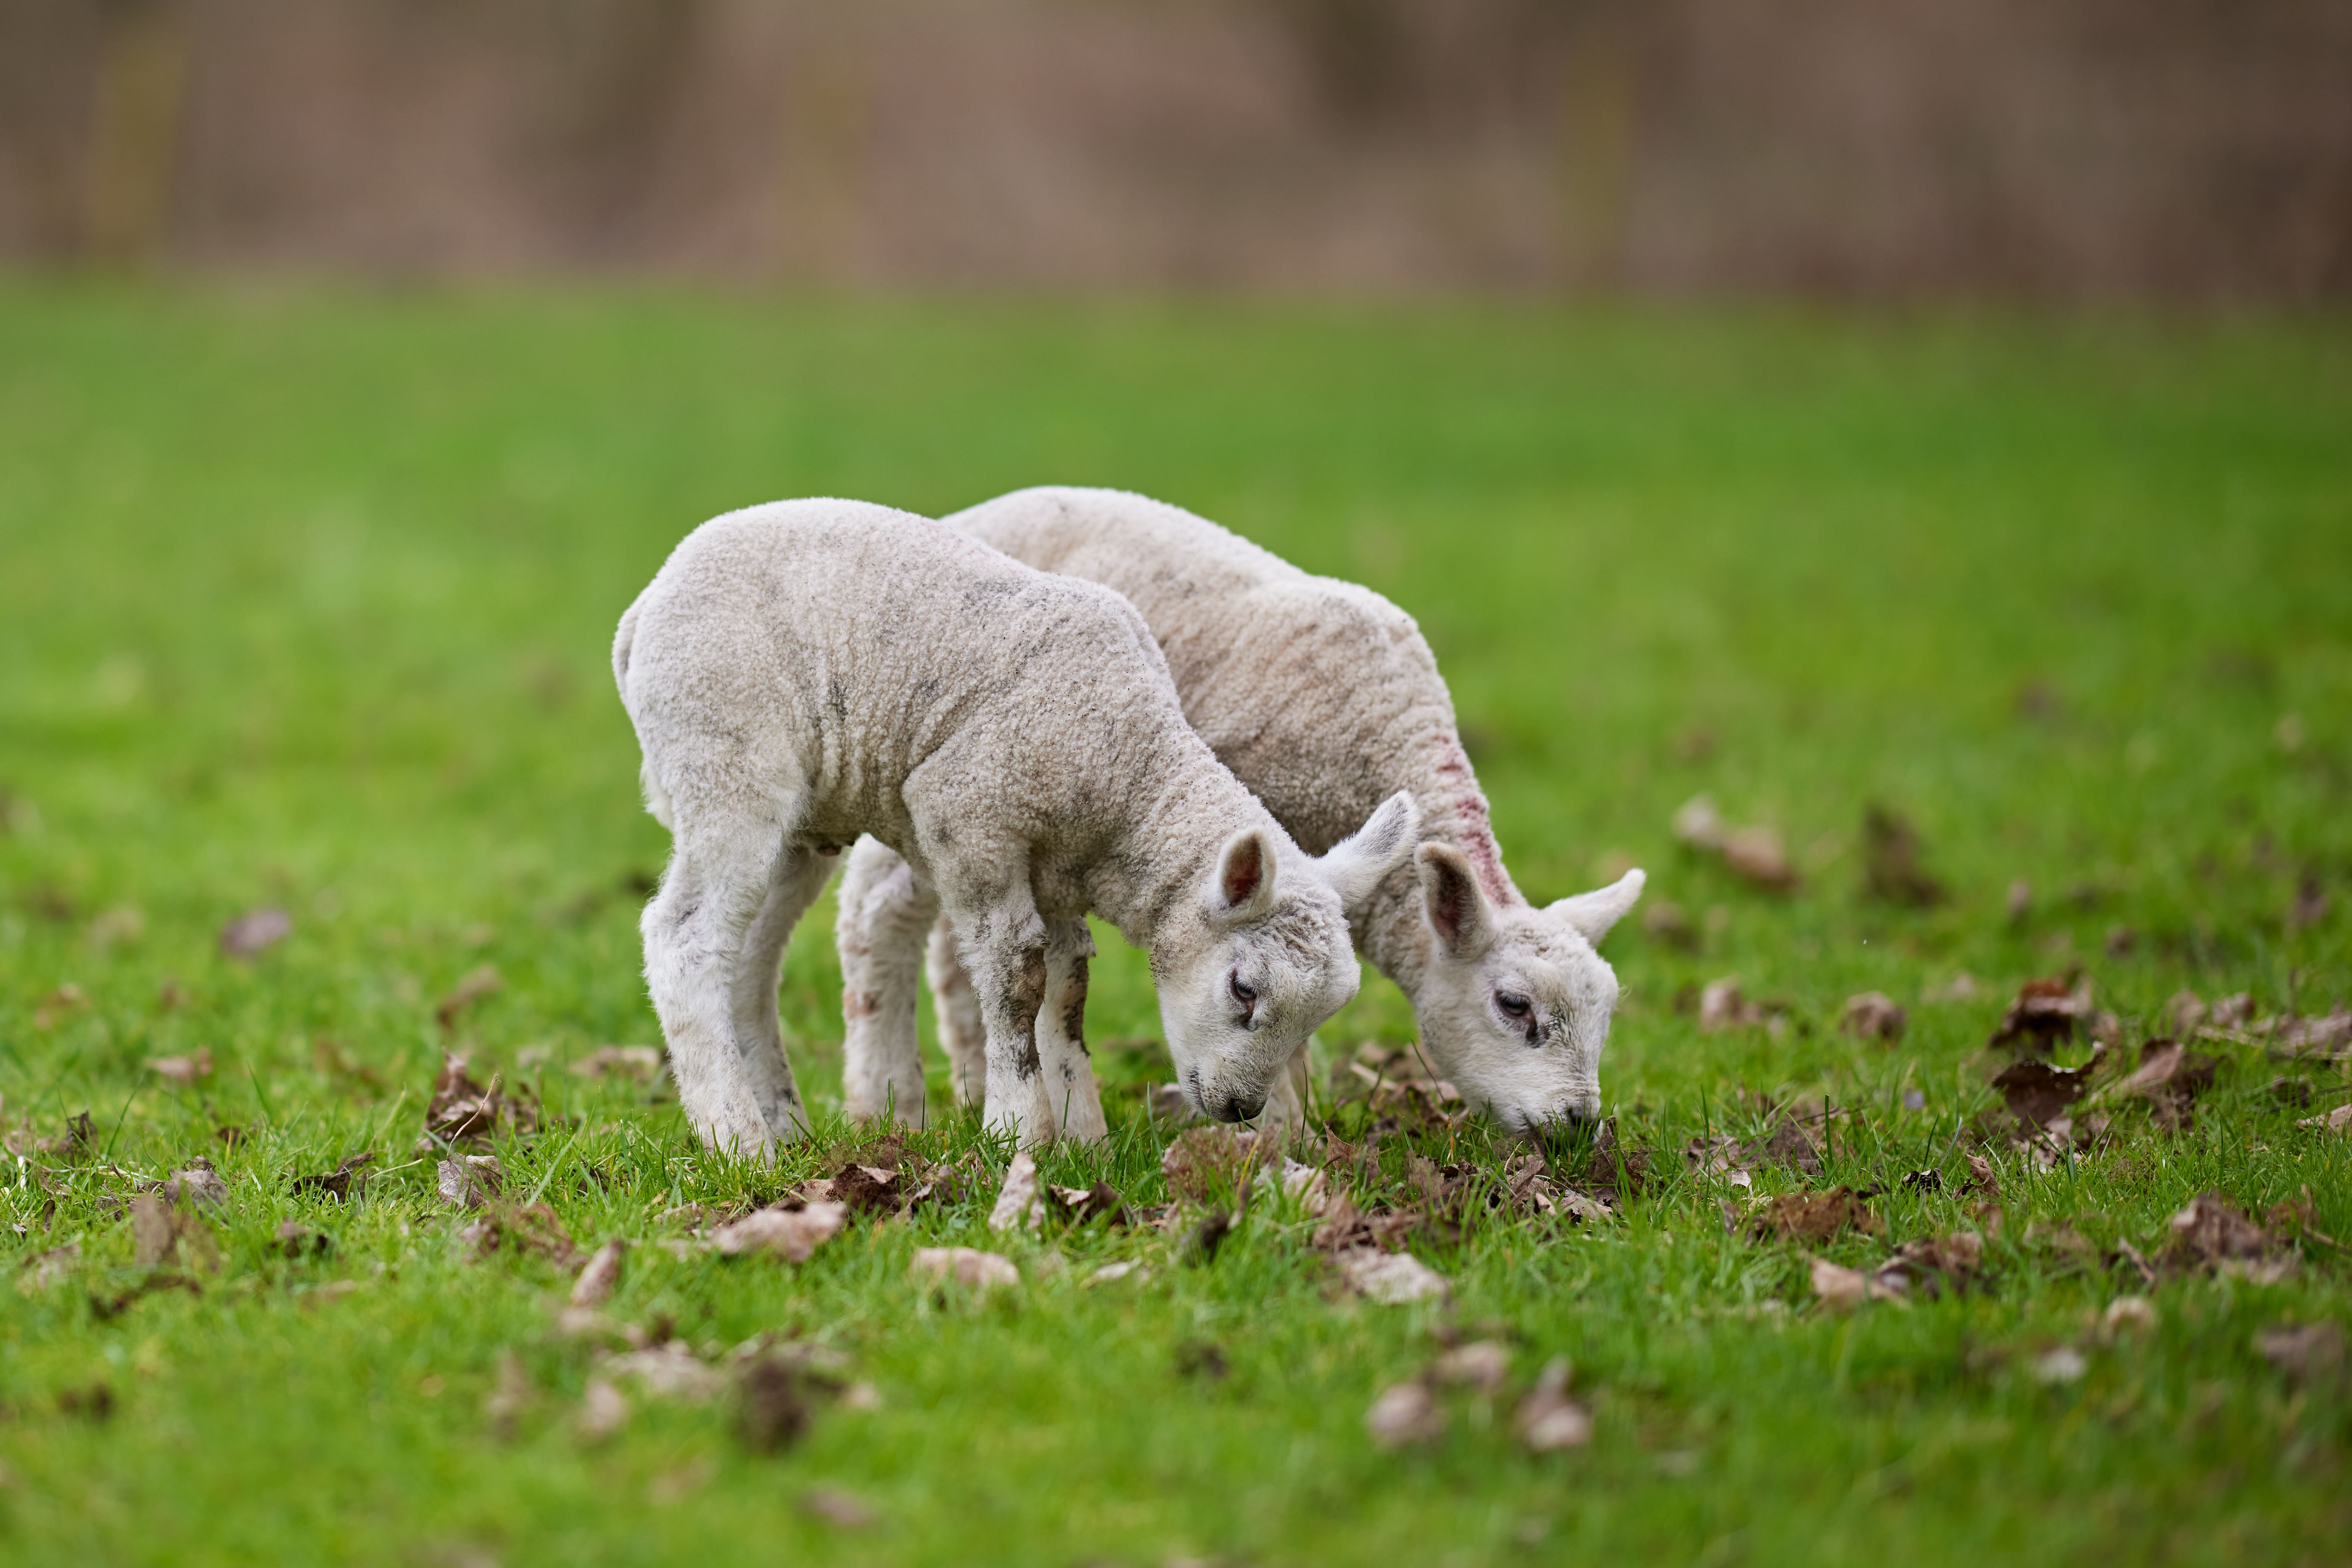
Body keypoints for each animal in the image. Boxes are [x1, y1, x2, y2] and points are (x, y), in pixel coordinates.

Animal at [612, 497, 1418, 1157]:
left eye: (1322, 1014)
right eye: (1244, 989)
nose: (1238, 1108)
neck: (1129, 778)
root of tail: (642, 609)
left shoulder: (1056, 870)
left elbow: (1067, 991)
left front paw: (1083, 1137)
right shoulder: (969, 821)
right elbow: (1017, 977)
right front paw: (1016, 1132)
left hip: (799, 818)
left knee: (748, 954)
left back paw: (783, 1121)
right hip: (725, 757)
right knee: (684, 937)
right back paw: (738, 1141)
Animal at [837, 487, 1643, 1138]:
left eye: (1608, 1014)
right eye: (1514, 1005)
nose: (1579, 1124)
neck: (1389, 729)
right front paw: (1283, 1136)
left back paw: (973, 1083)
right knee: (879, 906)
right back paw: (886, 1106)